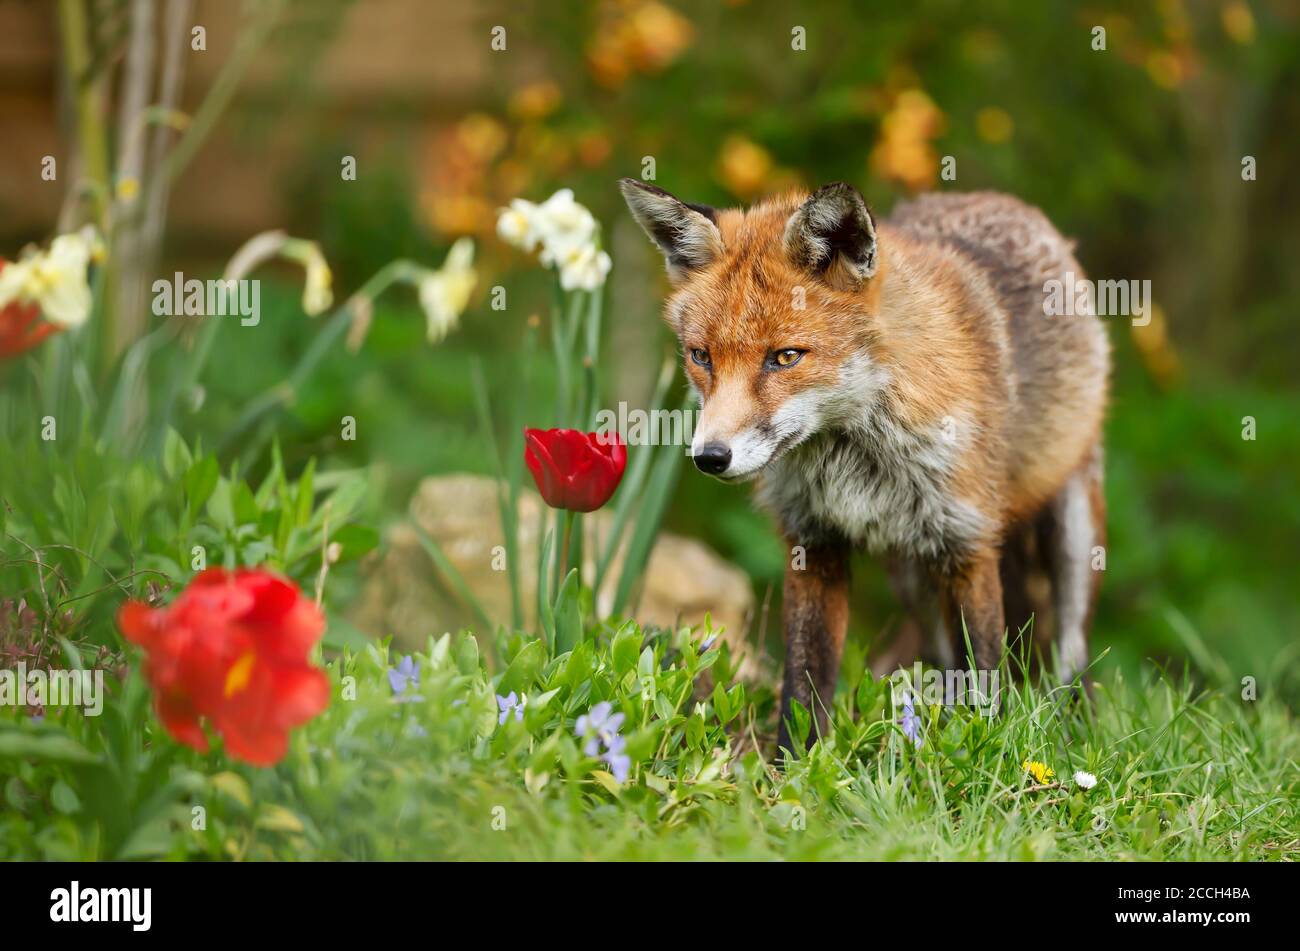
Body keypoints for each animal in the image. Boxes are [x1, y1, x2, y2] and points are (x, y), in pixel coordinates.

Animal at [619, 178, 1110, 754]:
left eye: (785, 357)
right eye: (702, 357)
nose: (710, 457)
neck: (852, 458)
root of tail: (999, 199)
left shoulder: (967, 542)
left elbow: (985, 669)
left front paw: (982, 755)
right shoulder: (813, 545)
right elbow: (804, 683)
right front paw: (794, 767)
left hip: (1072, 532)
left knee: (1071, 651)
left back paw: (1073, 727)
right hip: (913, 577)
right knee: (939, 650)